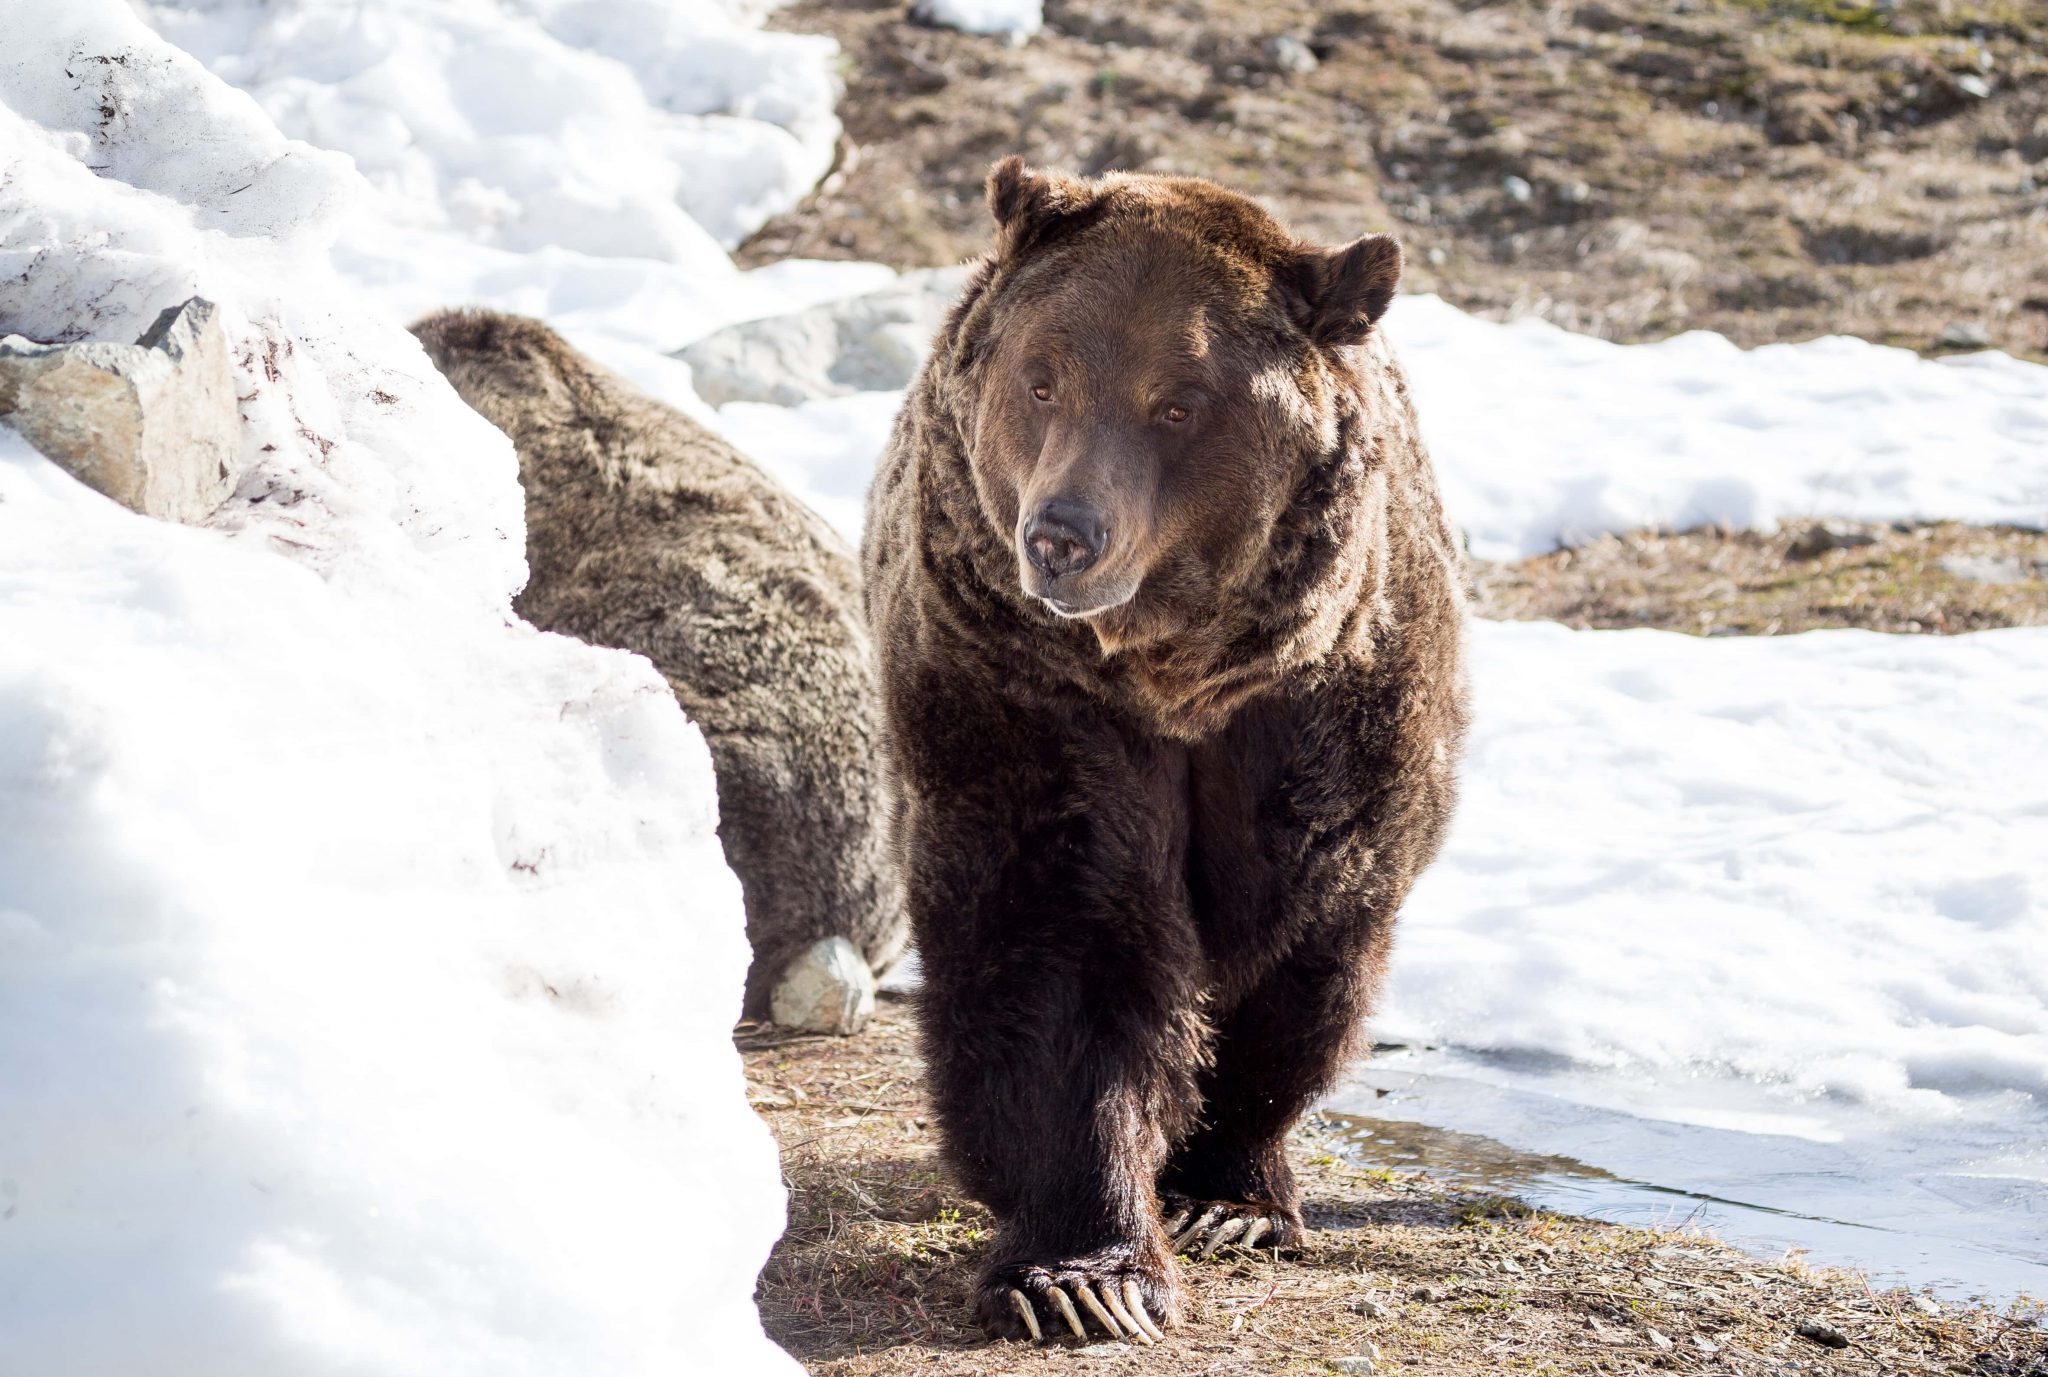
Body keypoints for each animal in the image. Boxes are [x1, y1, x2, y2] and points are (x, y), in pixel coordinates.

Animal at [861, 159, 1468, 1343]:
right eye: (1042, 378)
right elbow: (1060, 935)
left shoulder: (1322, 712)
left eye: (1177, 402)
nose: (1061, 534)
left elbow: (1301, 943)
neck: (1175, 676)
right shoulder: (1023, 684)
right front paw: (1080, 1273)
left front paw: (1224, 1194)